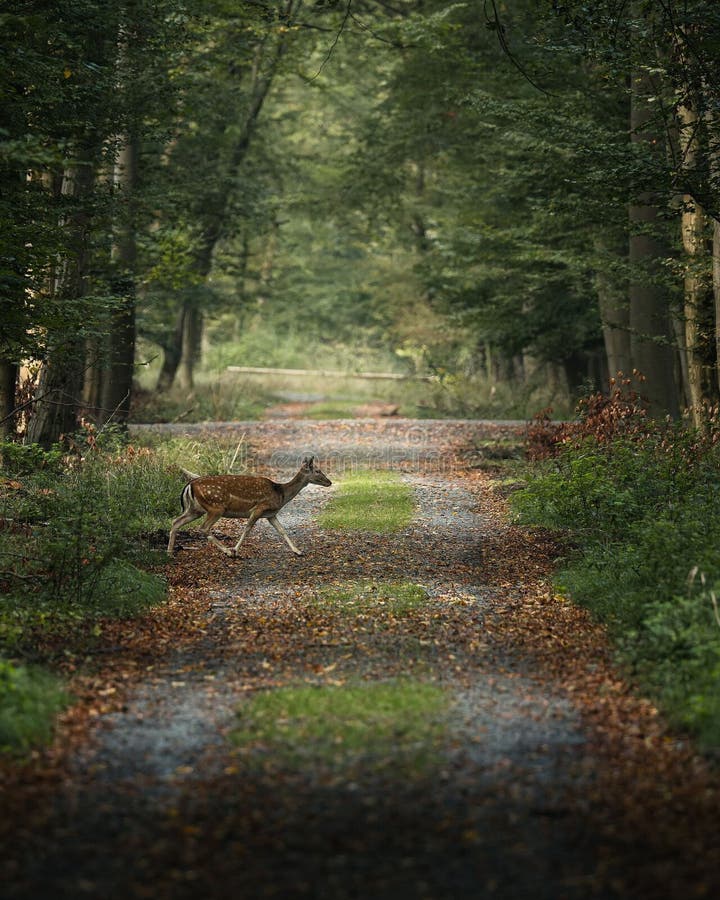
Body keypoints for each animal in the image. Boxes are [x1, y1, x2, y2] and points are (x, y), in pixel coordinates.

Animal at [167, 455, 332, 558]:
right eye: (318, 470)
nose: (329, 482)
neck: (281, 493)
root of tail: (190, 485)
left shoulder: (271, 514)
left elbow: (282, 531)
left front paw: (298, 551)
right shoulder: (259, 508)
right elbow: (247, 529)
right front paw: (235, 550)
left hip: (195, 509)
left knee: (176, 522)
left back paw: (169, 553)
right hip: (215, 507)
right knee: (203, 527)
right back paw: (227, 552)